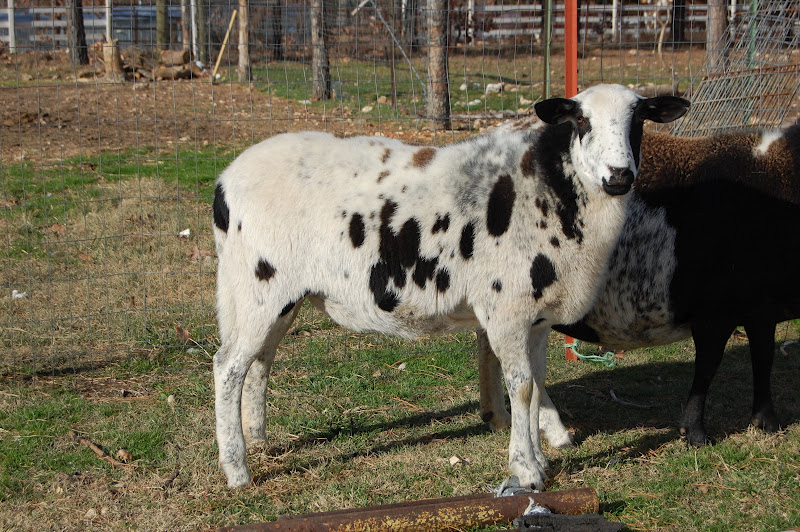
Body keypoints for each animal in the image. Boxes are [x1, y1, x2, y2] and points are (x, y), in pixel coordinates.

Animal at [211, 84, 689, 489]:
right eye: (582, 122)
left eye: (639, 120)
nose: (619, 176)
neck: (551, 191)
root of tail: (226, 182)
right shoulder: (506, 309)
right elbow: (521, 387)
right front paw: (527, 470)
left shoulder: (536, 317)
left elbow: (535, 385)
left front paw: (539, 456)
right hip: (259, 284)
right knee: (228, 366)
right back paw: (237, 470)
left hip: (275, 296)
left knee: (260, 361)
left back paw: (258, 439)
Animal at [478, 123, 800, 447]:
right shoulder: (715, 310)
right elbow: (708, 367)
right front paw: (695, 433)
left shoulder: (760, 309)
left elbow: (763, 358)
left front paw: (767, 422)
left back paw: (502, 417)